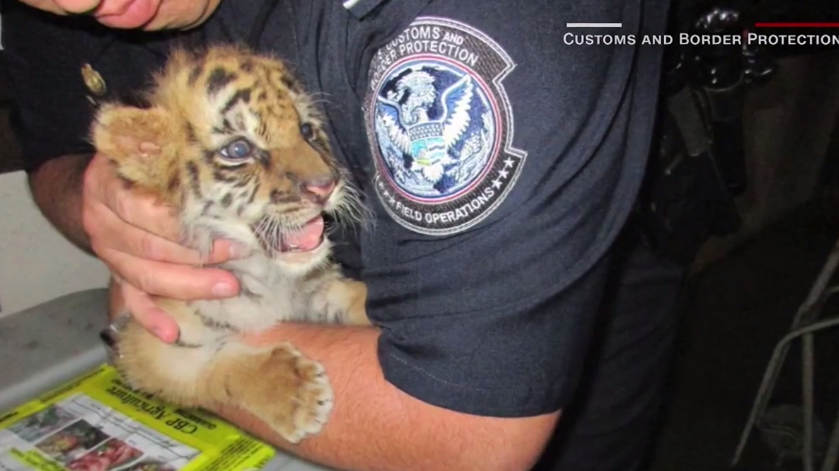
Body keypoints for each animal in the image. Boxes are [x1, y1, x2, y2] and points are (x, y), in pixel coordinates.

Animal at [92, 45, 370, 444]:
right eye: (238, 149)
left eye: (305, 130)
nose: (325, 185)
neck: (267, 274)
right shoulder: (152, 342)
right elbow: (216, 367)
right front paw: (295, 393)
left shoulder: (314, 289)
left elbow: (350, 297)